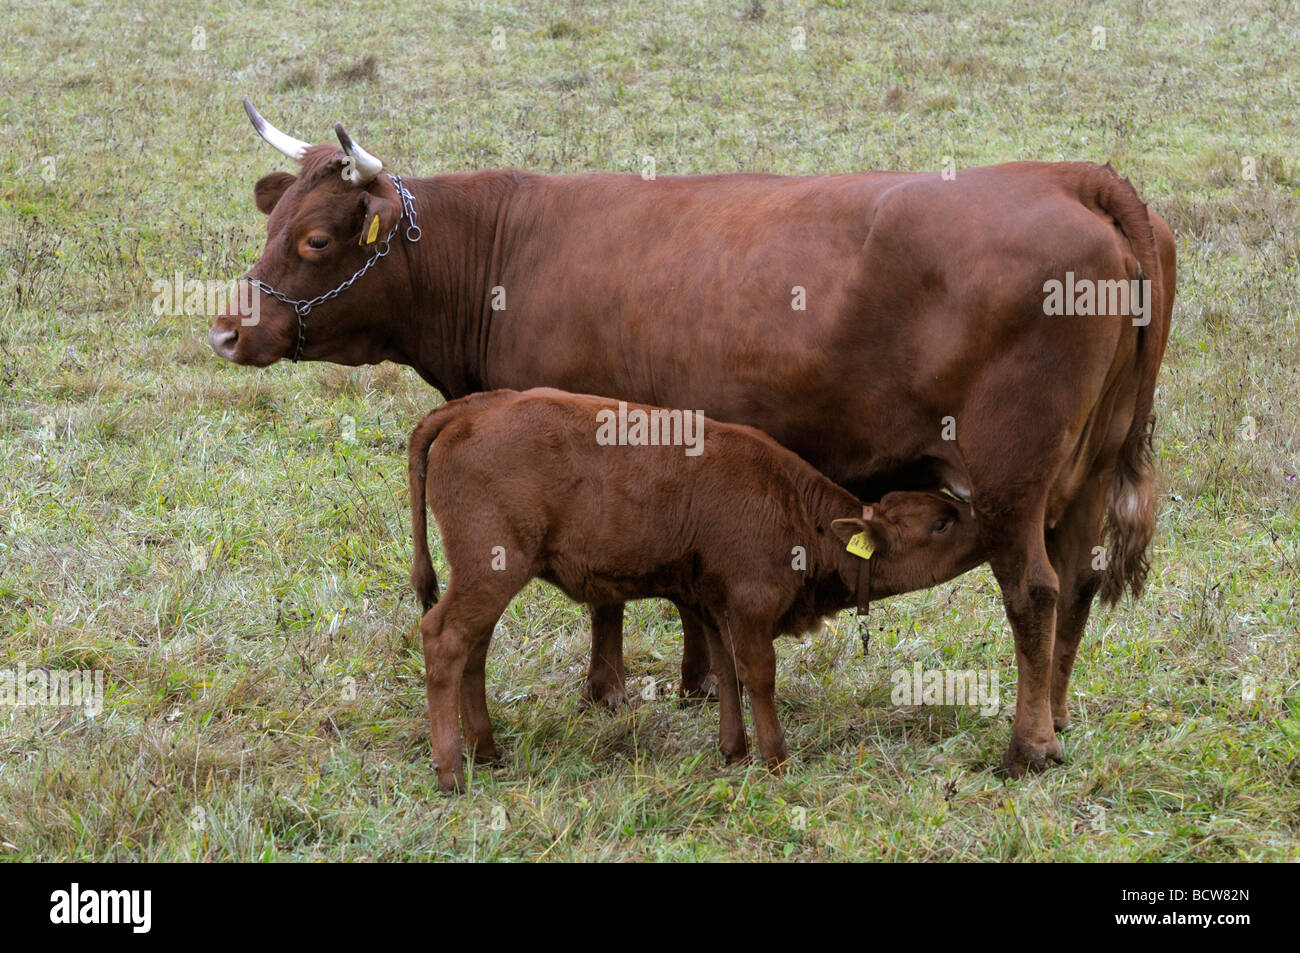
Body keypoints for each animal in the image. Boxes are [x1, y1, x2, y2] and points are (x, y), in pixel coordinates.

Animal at [407, 388, 986, 792]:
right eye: (941, 522)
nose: (987, 521)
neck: (800, 513)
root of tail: (475, 407)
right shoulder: (751, 606)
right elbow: (758, 676)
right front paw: (776, 759)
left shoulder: (713, 606)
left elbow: (724, 671)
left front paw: (734, 750)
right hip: (491, 569)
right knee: (444, 638)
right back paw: (451, 772)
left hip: (487, 576)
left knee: (474, 648)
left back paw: (485, 749)